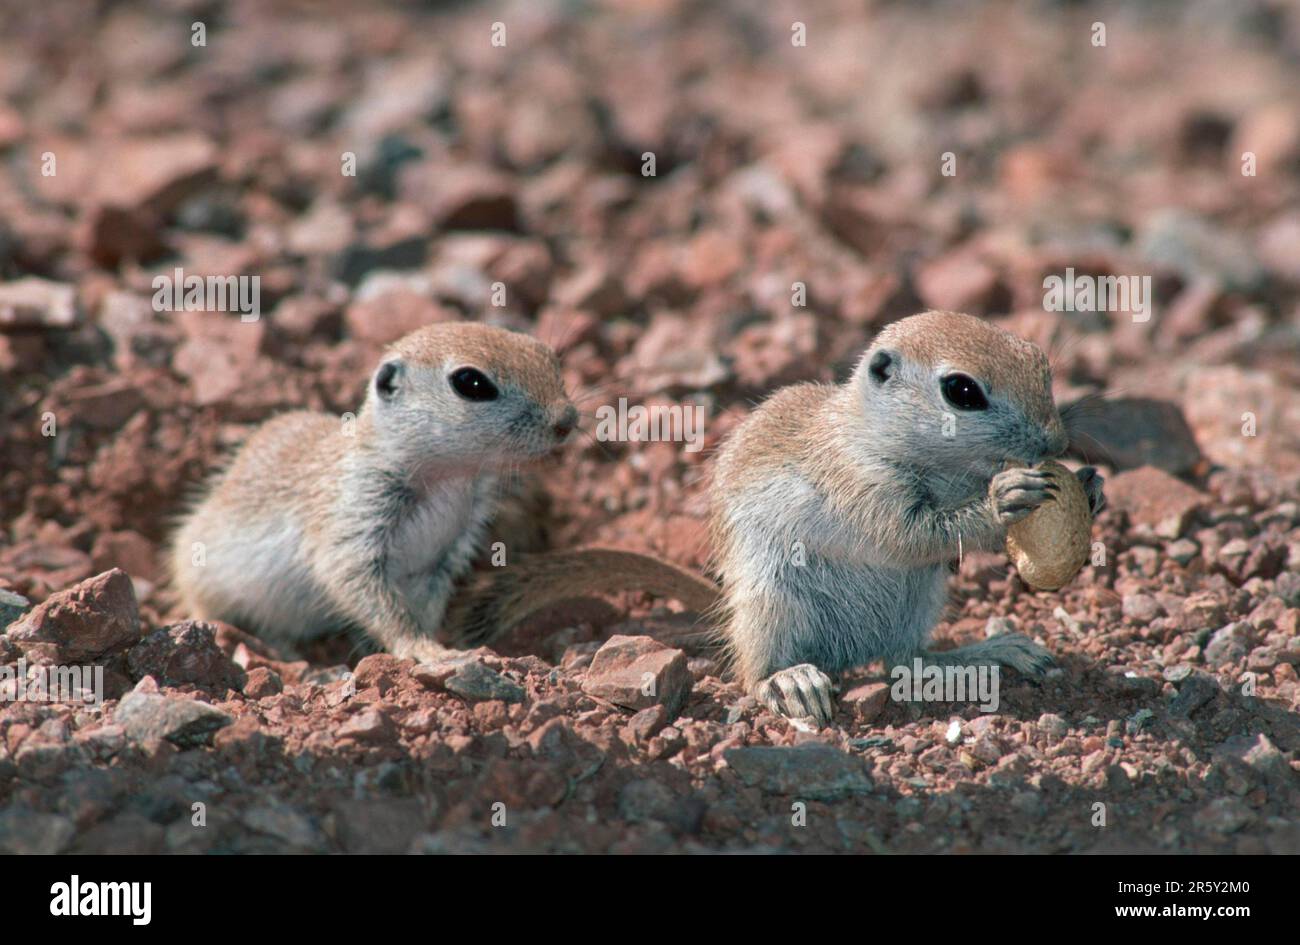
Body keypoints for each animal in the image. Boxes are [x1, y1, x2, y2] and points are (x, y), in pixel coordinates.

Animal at [446, 311, 1105, 727]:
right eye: (962, 391)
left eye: (1040, 361)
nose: (1056, 441)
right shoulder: (859, 484)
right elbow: (912, 533)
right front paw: (1004, 499)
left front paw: (1091, 487)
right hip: (774, 598)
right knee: (755, 672)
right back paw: (791, 682)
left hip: (919, 599)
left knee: (905, 660)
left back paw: (992, 650)